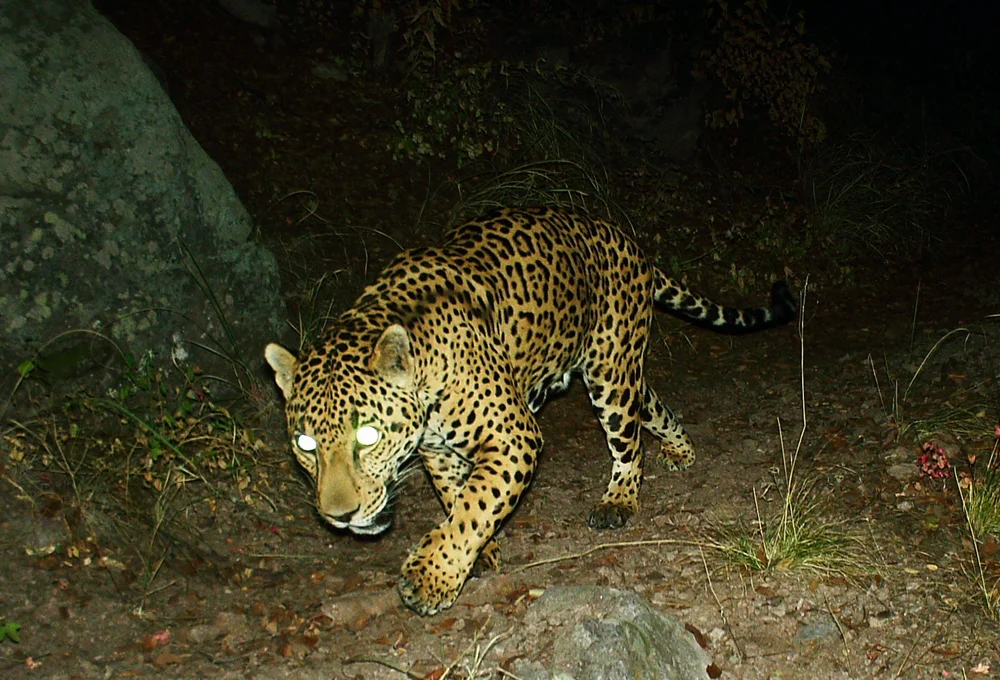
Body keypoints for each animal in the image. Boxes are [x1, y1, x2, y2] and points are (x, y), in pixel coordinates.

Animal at [265, 206, 796, 616]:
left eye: (368, 436)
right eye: (305, 444)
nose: (340, 517)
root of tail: (624, 238)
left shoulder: (512, 435)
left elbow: (475, 504)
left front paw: (430, 578)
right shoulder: (438, 451)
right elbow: (459, 497)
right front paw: (475, 554)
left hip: (609, 373)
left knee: (628, 442)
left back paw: (619, 501)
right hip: (621, 369)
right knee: (652, 404)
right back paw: (681, 450)